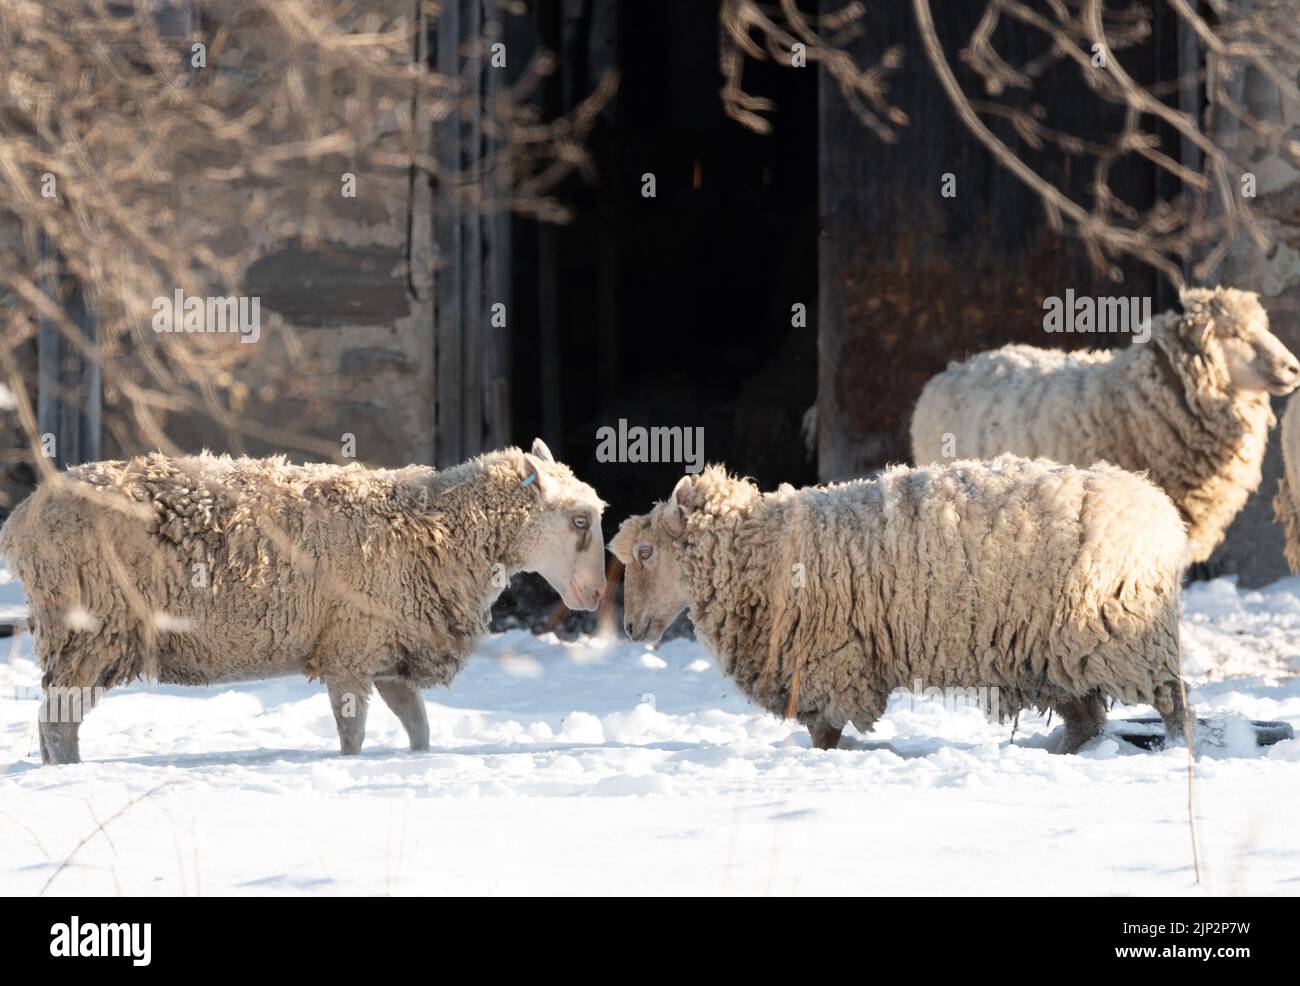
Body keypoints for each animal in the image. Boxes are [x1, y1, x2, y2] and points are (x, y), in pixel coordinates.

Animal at [0, 439, 607, 764]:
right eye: (580, 520)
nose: (598, 595)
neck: (438, 528)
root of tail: (23, 516)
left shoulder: (388, 655)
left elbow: (419, 729)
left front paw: (418, 765)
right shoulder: (349, 649)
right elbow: (353, 737)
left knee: (54, 721)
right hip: (89, 629)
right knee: (57, 723)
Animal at [610, 456, 1189, 754]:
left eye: (645, 553)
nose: (631, 629)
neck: (763, 548)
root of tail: (1159, 511)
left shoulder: (827, 657)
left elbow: (824, 729)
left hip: (1117, 631)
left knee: (1172, 698)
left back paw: (1178, 750)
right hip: (1057, 650)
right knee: (1086, 718)